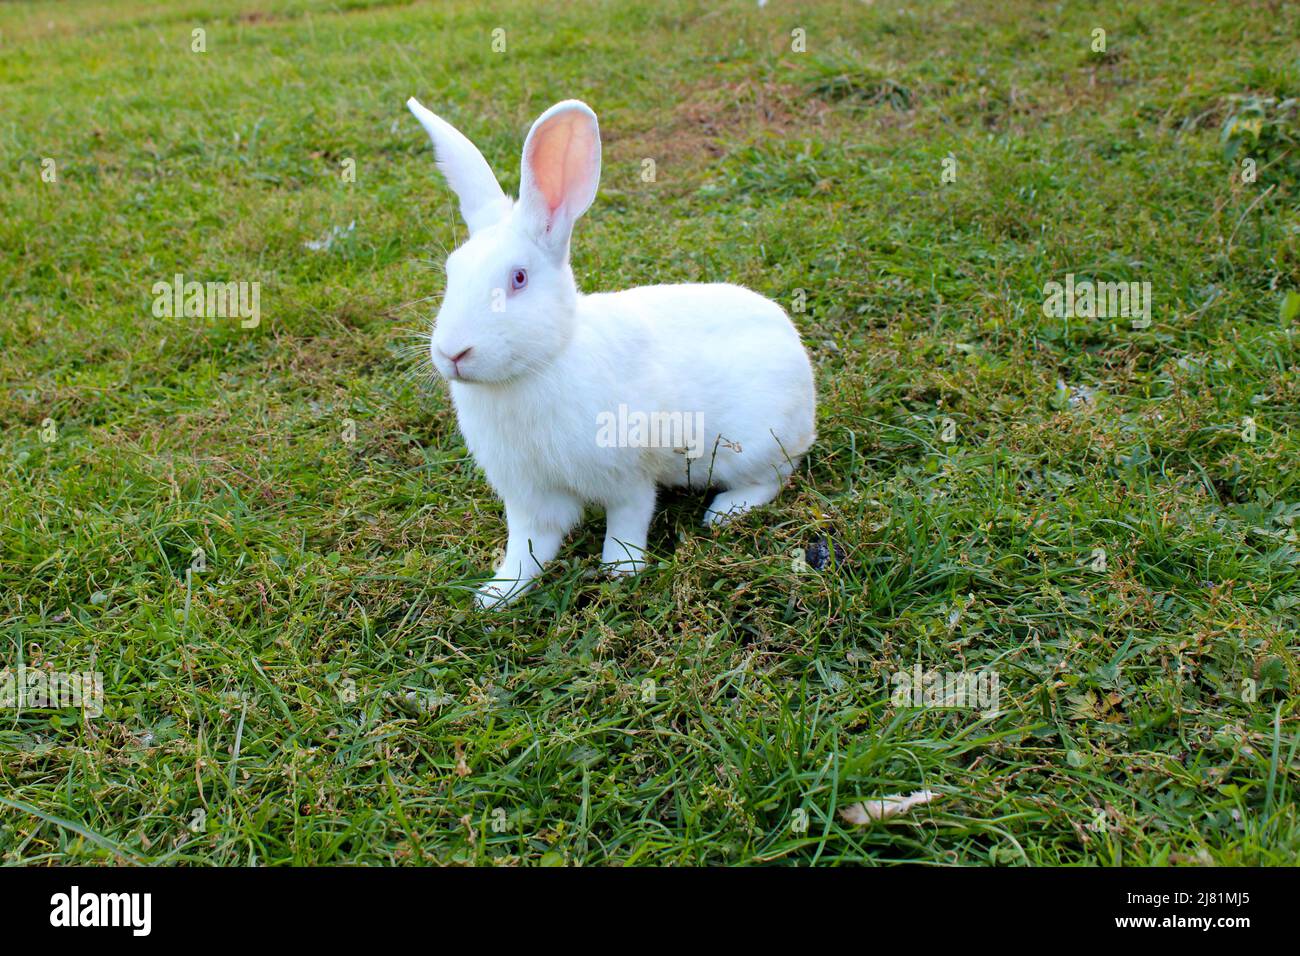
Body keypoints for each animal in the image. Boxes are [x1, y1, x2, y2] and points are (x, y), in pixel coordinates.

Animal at [406, 96, 816, 608]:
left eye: (518, 278)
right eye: (451, 271)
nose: (453, 353)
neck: (543, 363)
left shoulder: (629, 475)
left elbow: (628, 520)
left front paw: (621, 571)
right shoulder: (528, 495)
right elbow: (528, 546)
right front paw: (496, 595)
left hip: (750, 448)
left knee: (778, 474)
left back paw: (726, 510)